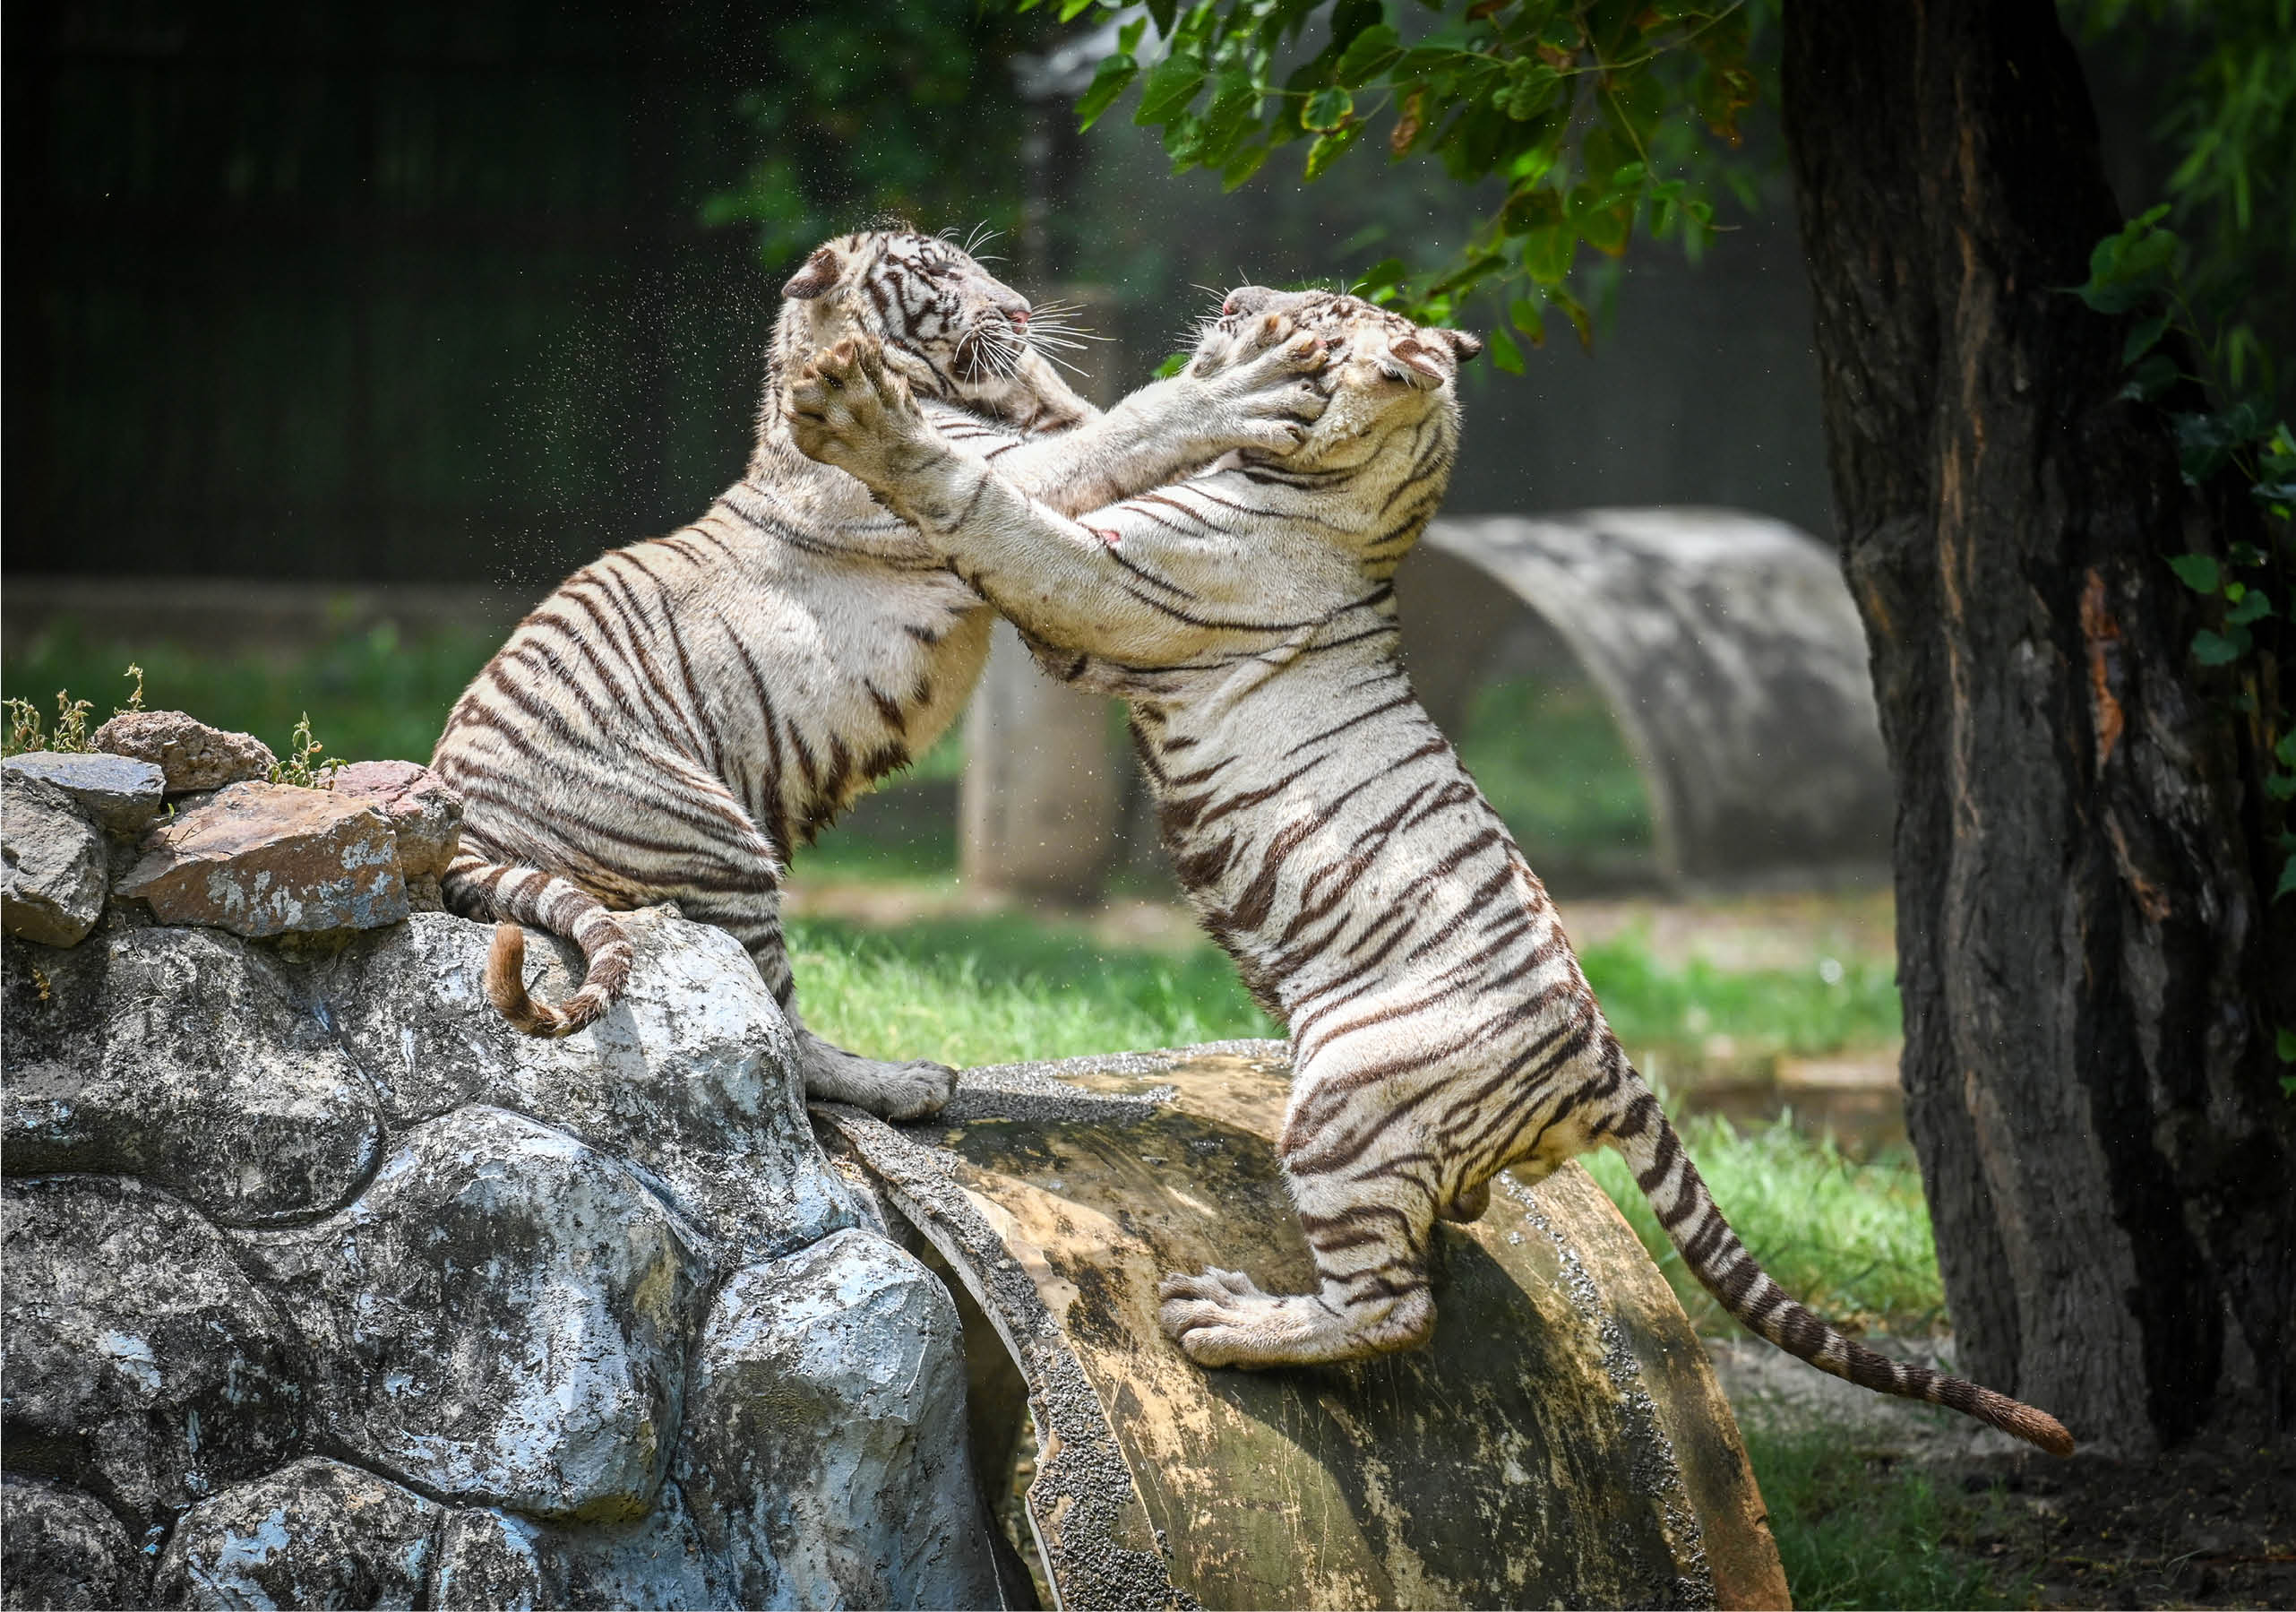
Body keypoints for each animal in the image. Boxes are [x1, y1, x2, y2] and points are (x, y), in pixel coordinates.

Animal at [432, 231, 1331, 1121]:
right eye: (938, 272)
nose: (1019, 309)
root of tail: (459, 827)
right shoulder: (992, 481)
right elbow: (1130, 428)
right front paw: (1248, 382)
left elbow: (1092, 417)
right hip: (711, 840)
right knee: (780, 1030)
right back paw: (904, 1084)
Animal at [782, 286, 2077, 1455]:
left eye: (1311, 315)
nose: (1238, 300)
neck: (1344, 493)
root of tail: (1604, 1057)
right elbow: (1079, 448)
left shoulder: (1100, 581)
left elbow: (1004, 513)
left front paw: (871, 423)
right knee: (1445, 1232)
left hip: (1345, 1105)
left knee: (1392, 1306)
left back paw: (1229, 1319)